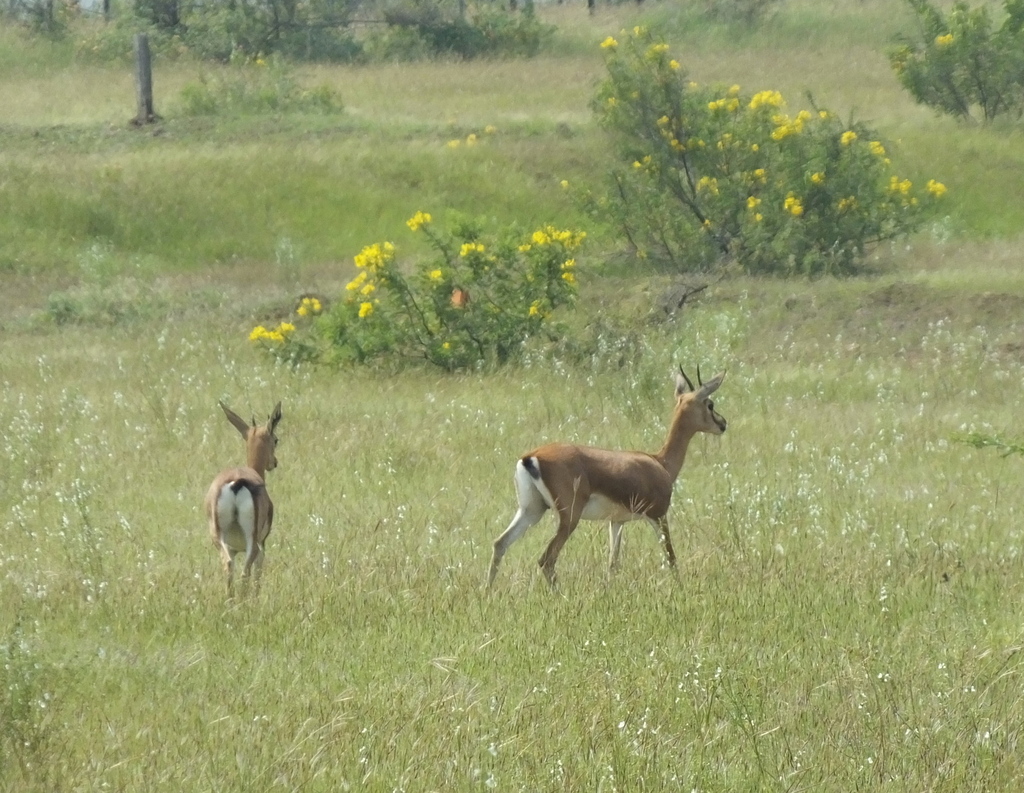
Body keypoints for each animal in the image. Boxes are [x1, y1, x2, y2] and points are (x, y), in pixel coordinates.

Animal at [204, 401, 282, 593]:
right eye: (276, 440)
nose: (274, 462)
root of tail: (238, 481)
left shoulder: (232, 548)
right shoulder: (262, 545)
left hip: (218, 538)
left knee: (228, 565)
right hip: (252, 542)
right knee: (245, 572)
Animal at [488, 368, 726, 587]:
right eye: (710, 404)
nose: (723, 423)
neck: (660, 462)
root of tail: (531, 457)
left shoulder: (616, 521)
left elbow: (613, 563)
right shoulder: (658, 515)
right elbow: (671, 558)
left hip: (531, 511)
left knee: (500, 543)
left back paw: (488, 593)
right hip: (568, 518)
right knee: (546, 559)